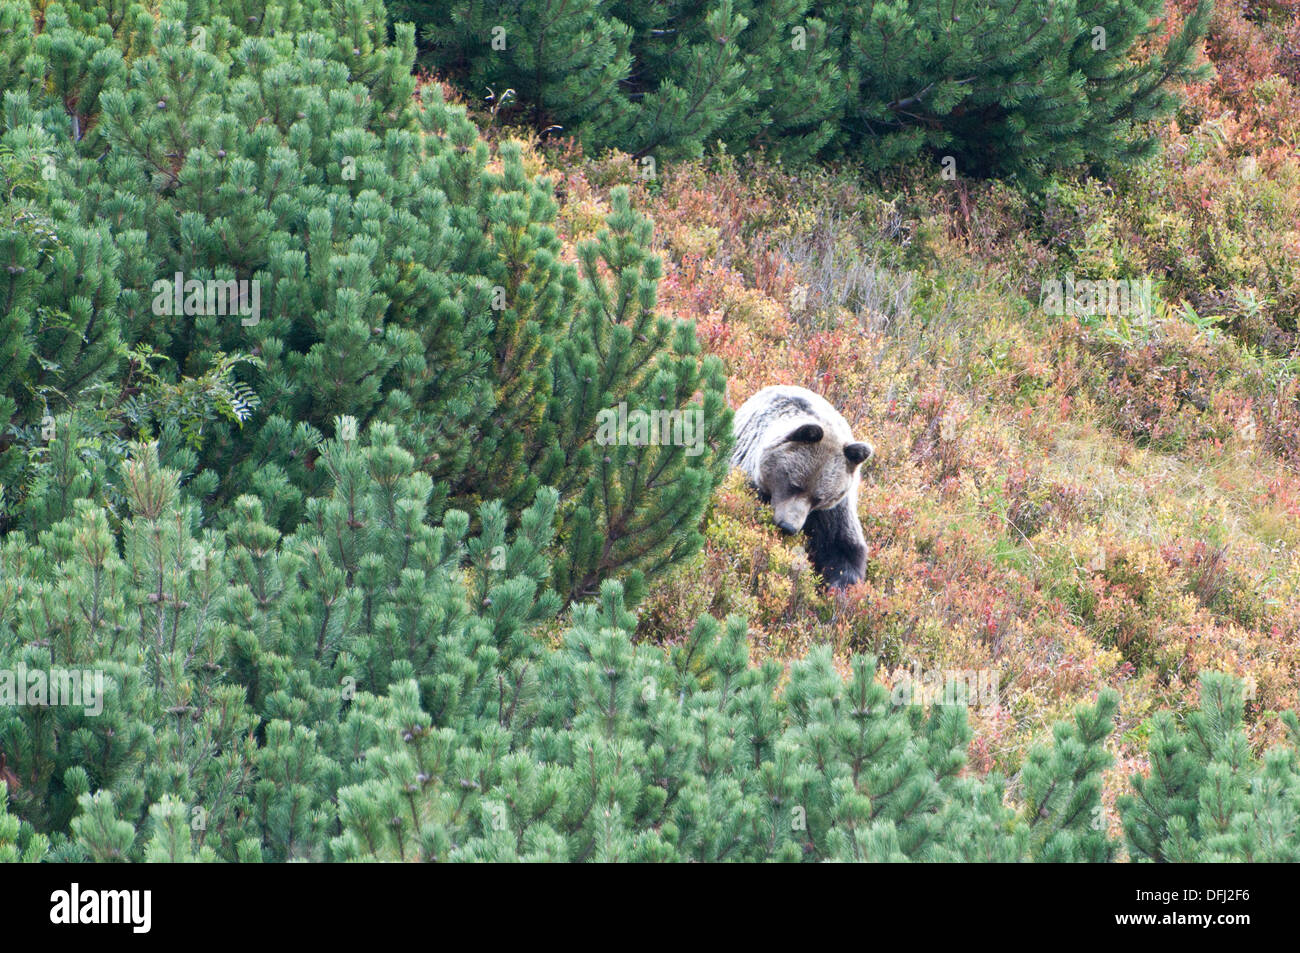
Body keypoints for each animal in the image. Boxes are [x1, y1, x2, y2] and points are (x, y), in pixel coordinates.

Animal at [731, 385, 874, 590]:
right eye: (794, 484)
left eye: (819, 498)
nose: (788, 527)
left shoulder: (833, 510)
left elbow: (843, 546)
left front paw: (840, 586)